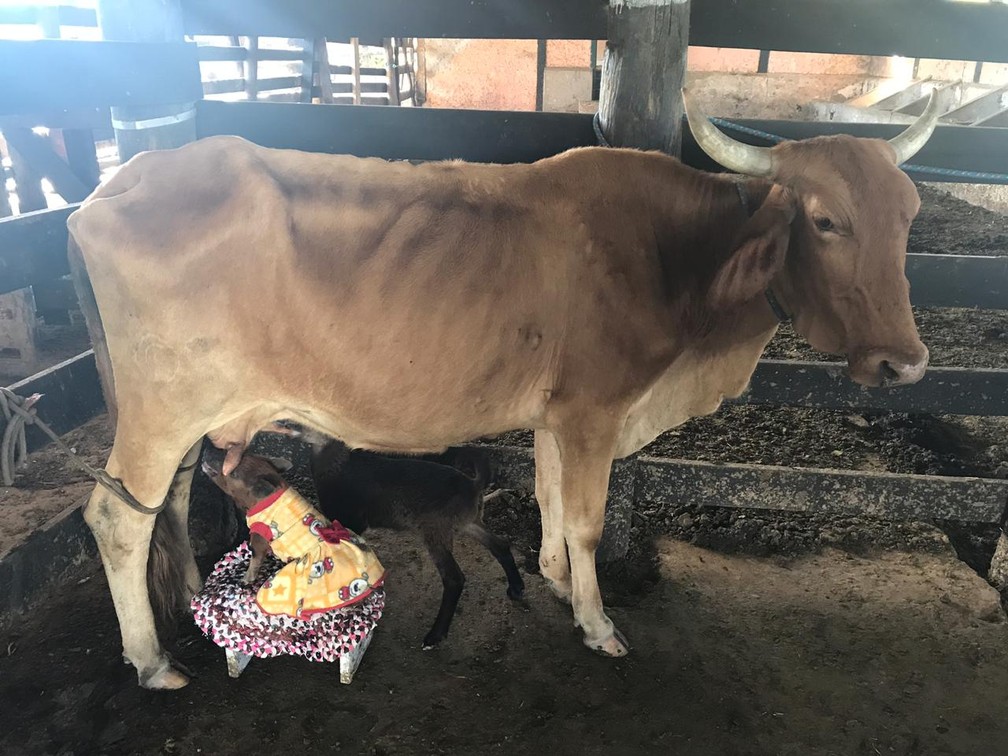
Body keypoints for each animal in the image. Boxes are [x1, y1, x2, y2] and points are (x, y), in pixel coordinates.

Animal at [65, 89, 938, 689]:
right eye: (824, 220)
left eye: (909, 214)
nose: (903, 364)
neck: (675, 259)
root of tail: (115, 187)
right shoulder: (593, 410)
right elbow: (586, 520)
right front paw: (596, 620)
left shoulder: (557, 413)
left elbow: (550, 497)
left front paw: (552, 577)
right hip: (161, 410)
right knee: (117, 518)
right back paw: (151, 660)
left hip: (189, 417)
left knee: (173, 502)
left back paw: (186, 602)